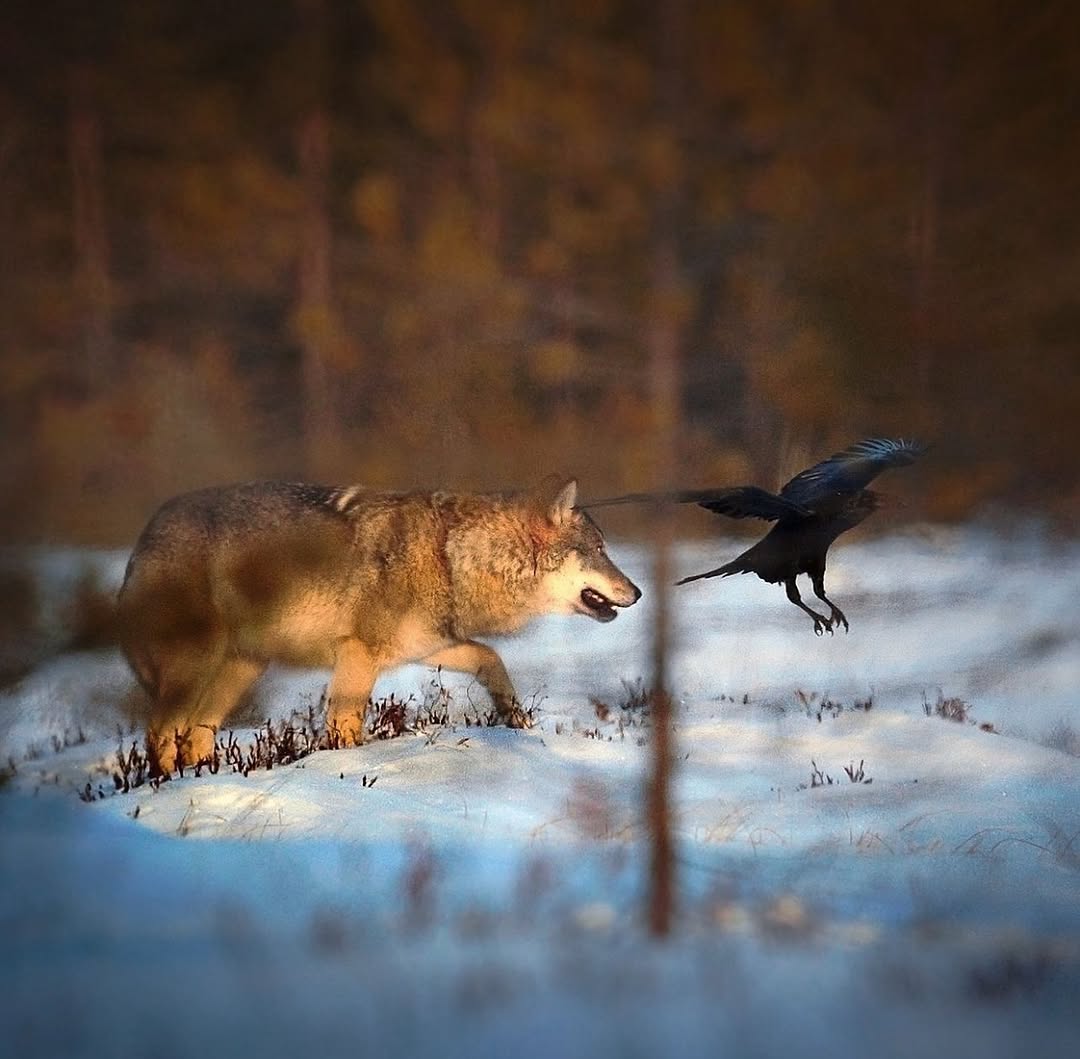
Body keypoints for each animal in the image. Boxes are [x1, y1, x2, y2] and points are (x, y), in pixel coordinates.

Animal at [117, 475, 640, 772]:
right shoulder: (358, 654)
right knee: (160, 735)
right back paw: (166, 783)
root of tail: (142, 540)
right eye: (600, 550)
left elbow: (492, 659)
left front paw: (518, 721)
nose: (637, 592)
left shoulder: (430, 646)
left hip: (239, 672)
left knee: (194, 735)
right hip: (195, 670)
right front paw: (349, 768)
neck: (451, 556)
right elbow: (345, 731)